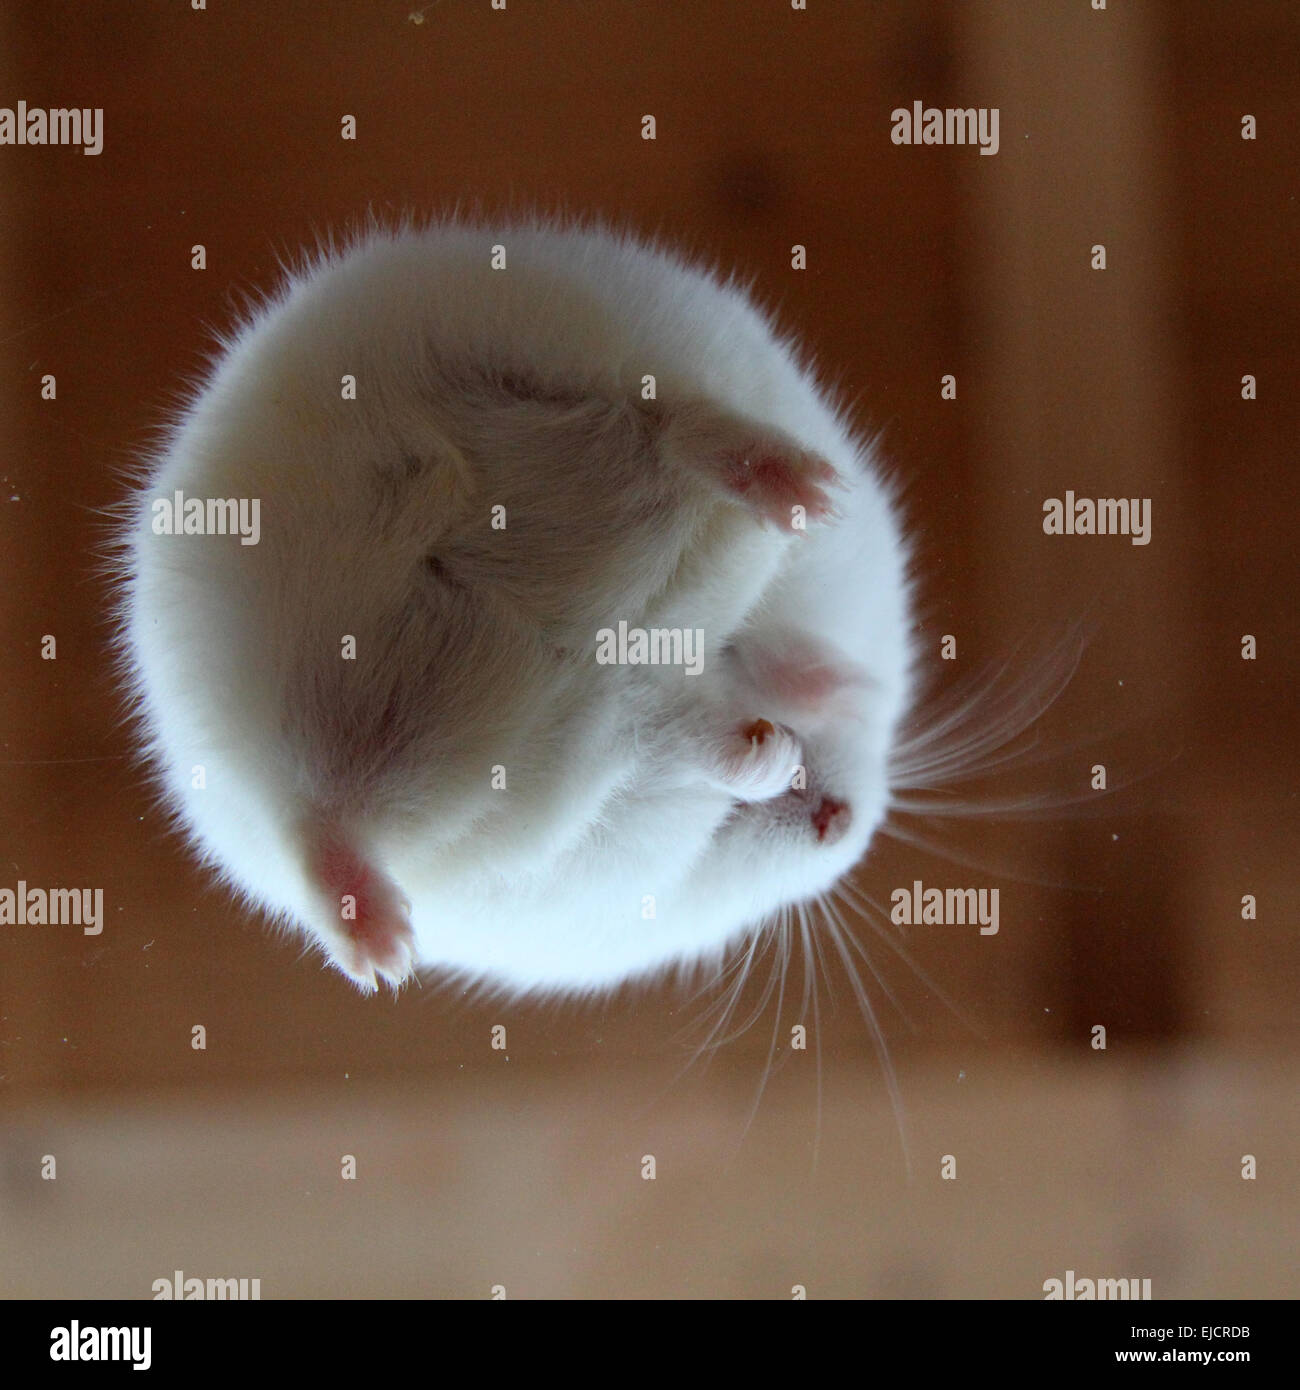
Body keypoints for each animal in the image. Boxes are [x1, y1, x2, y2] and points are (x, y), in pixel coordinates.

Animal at [115, 218, 913, 996]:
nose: (840, 823)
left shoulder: (641, 729)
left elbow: (709, 742)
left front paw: (773, 744)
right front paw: (782, 744)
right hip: (544, 351)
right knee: (679, 423)